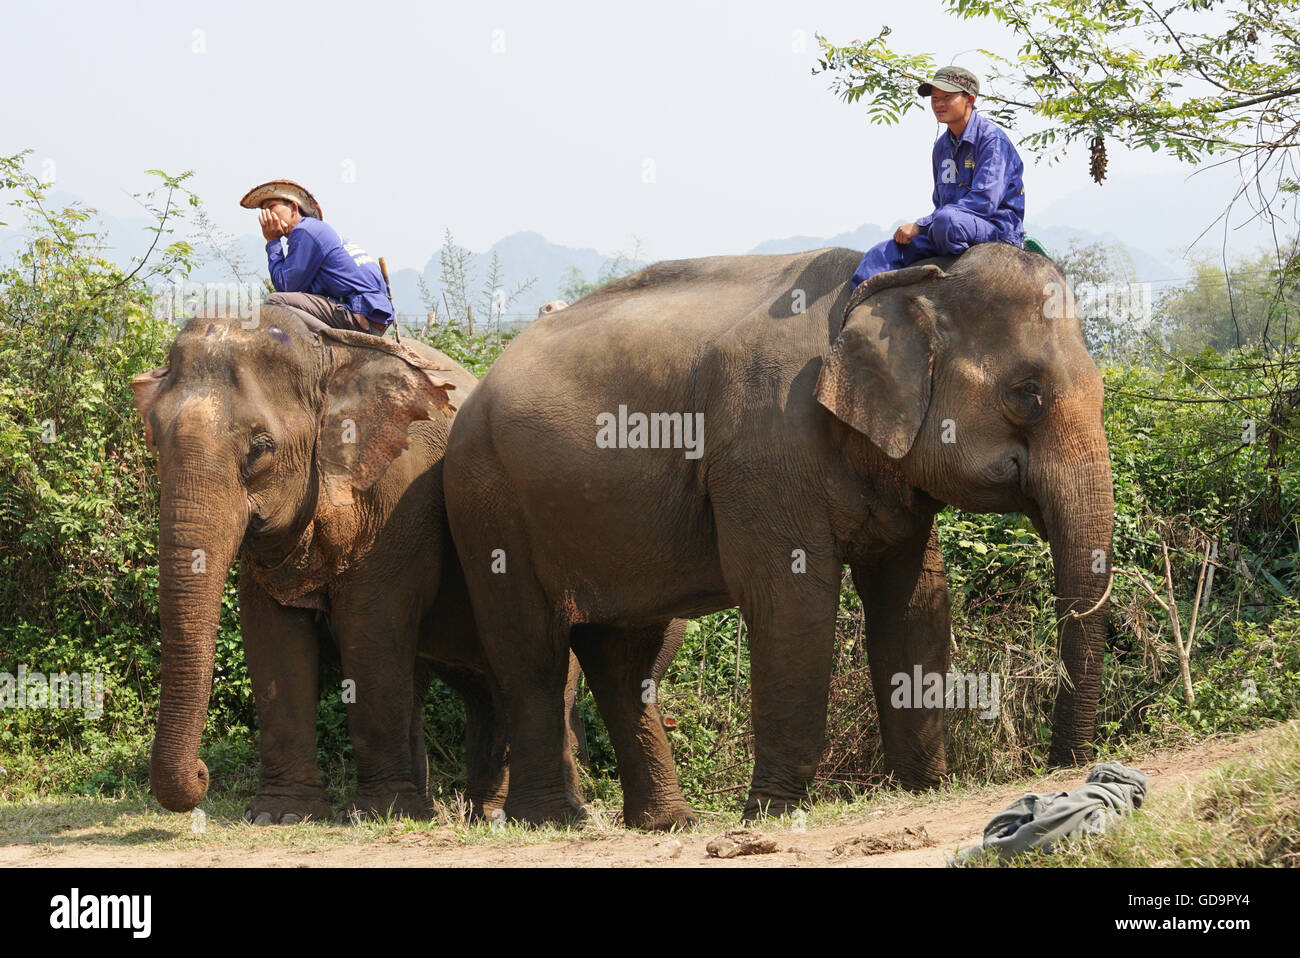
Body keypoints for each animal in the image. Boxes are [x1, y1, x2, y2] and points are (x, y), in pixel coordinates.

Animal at [130, 309, 509, 823]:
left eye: (260, 448)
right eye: (154, 441)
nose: (204, 774)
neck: (328, 357)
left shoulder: (399, 497)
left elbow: (370, 626)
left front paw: (379, 813)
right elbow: (270, 632)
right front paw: (282, 815)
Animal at [443, 243, 1113, 828]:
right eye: (1027, 395)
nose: (1064, 768)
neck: (906, 280)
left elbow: (915, 600)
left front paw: (926, 789)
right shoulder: (767, 445)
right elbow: (792, 600)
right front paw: (772, 811)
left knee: (622, 656)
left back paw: (667, 823)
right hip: (488, 502)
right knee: (531, 649)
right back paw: (551, 822)